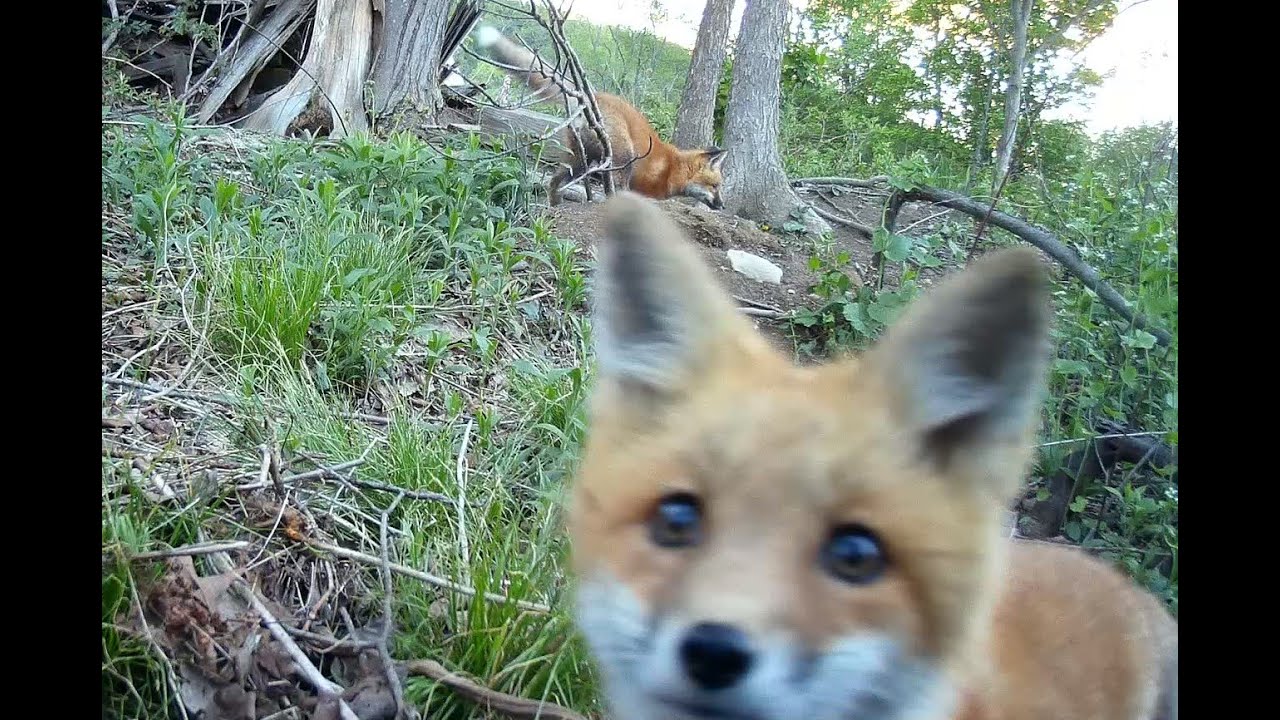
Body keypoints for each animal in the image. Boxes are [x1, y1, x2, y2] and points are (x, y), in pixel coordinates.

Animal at [474, 25, 727, 210]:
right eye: (714, 186)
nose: (723, 206)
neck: (672, 168)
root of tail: (593, 95)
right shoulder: (635, 185)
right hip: (620, 158)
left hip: (579, 162)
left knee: (553, 182)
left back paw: (555, 208)